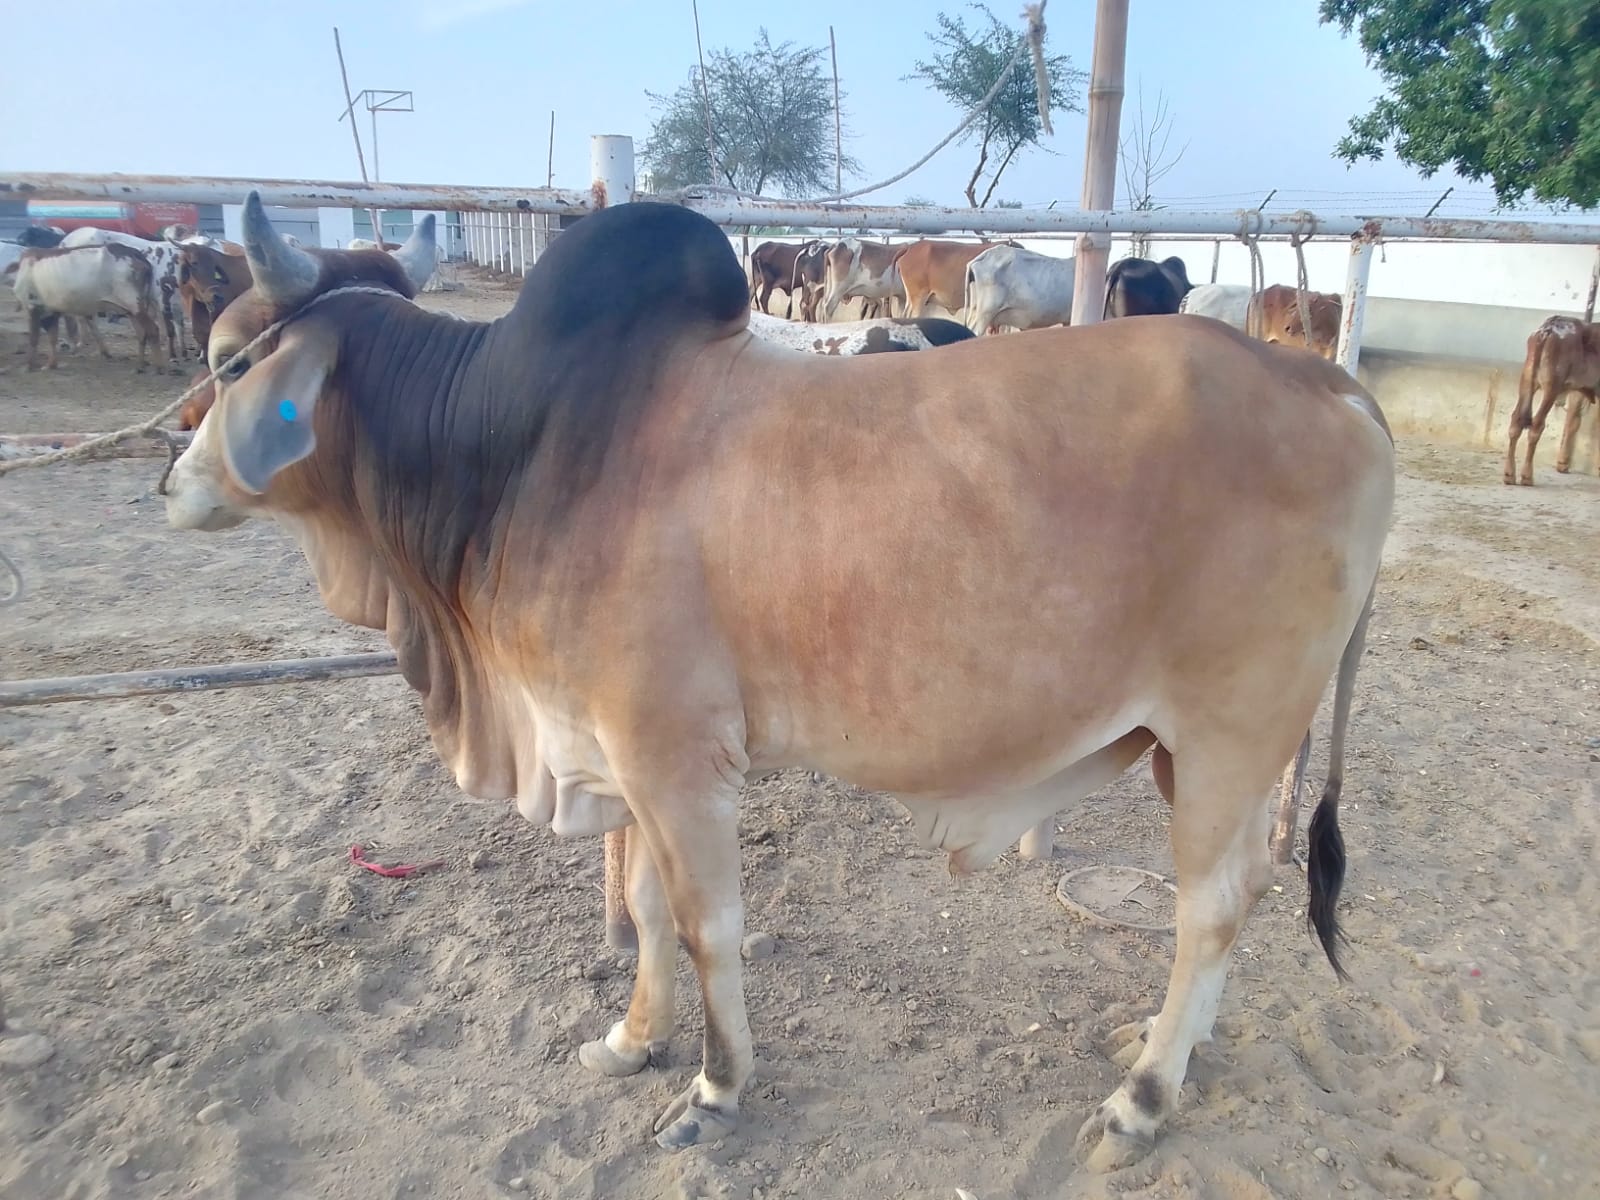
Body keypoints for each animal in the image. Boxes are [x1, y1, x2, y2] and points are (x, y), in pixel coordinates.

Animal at [12, 244, 164, 371]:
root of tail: (136, 254)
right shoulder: (51, 311)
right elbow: (52, 338)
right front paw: (51, 364)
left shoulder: (33, 306)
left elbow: (33, 339)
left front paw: (29, 366)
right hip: (131, 310)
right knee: (142, 334)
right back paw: (140, 366)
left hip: (134, 304)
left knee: (153, 330)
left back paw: (158, 367)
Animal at [61, 228, 190, 364]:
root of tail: (66, 240)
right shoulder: (164, 298)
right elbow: (171, 327)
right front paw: (173, 355)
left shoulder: (174, 302)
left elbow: (179, 325)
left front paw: (184, 353)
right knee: (84, 319)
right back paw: (84, 345)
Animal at [163, 192, 1395, 1173]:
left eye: (227, 360)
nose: (170, 483)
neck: (521, 456)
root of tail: (1328, 385)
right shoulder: (626, 759)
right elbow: (647, 909)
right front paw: (633, 1039)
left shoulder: (674, 758)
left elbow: (708, 923)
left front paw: (713, 1088)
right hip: (1191, 753)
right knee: (1232, 902)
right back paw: (1160, 1043)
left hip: (1232, 737)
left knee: (1213, 906)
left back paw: (1140, 1100)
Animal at [1503, 315, 1600, 486]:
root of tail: (1548, 328)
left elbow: (1573, 422)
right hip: (1551, 387)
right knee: (1537, 425)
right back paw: (1527, 476)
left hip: (1527, 381)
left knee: (1516, 420)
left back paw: (1509, 475)